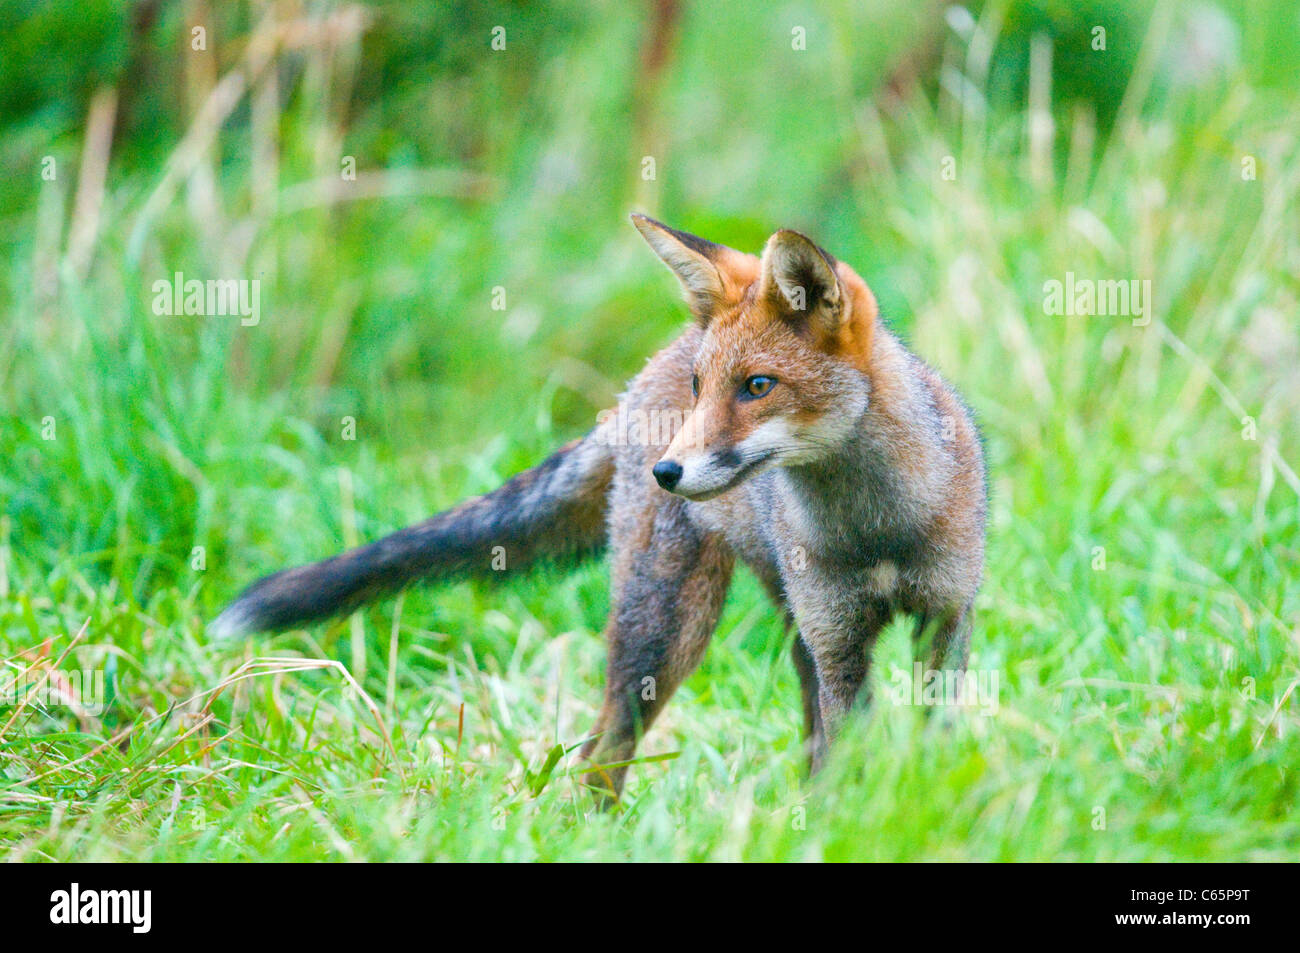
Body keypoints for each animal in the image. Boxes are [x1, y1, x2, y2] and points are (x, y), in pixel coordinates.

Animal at [212, 214, 986, 800]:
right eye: (704, 387)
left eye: (758, 386)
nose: (667, 470)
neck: (876, 530)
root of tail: (642, 375)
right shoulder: (839, 643)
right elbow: (855, 754)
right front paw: (862, 822)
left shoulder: (943, 619)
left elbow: (929, 739)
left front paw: (918, 807)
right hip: (667, 631)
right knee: (598, 759)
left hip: (773, 629)